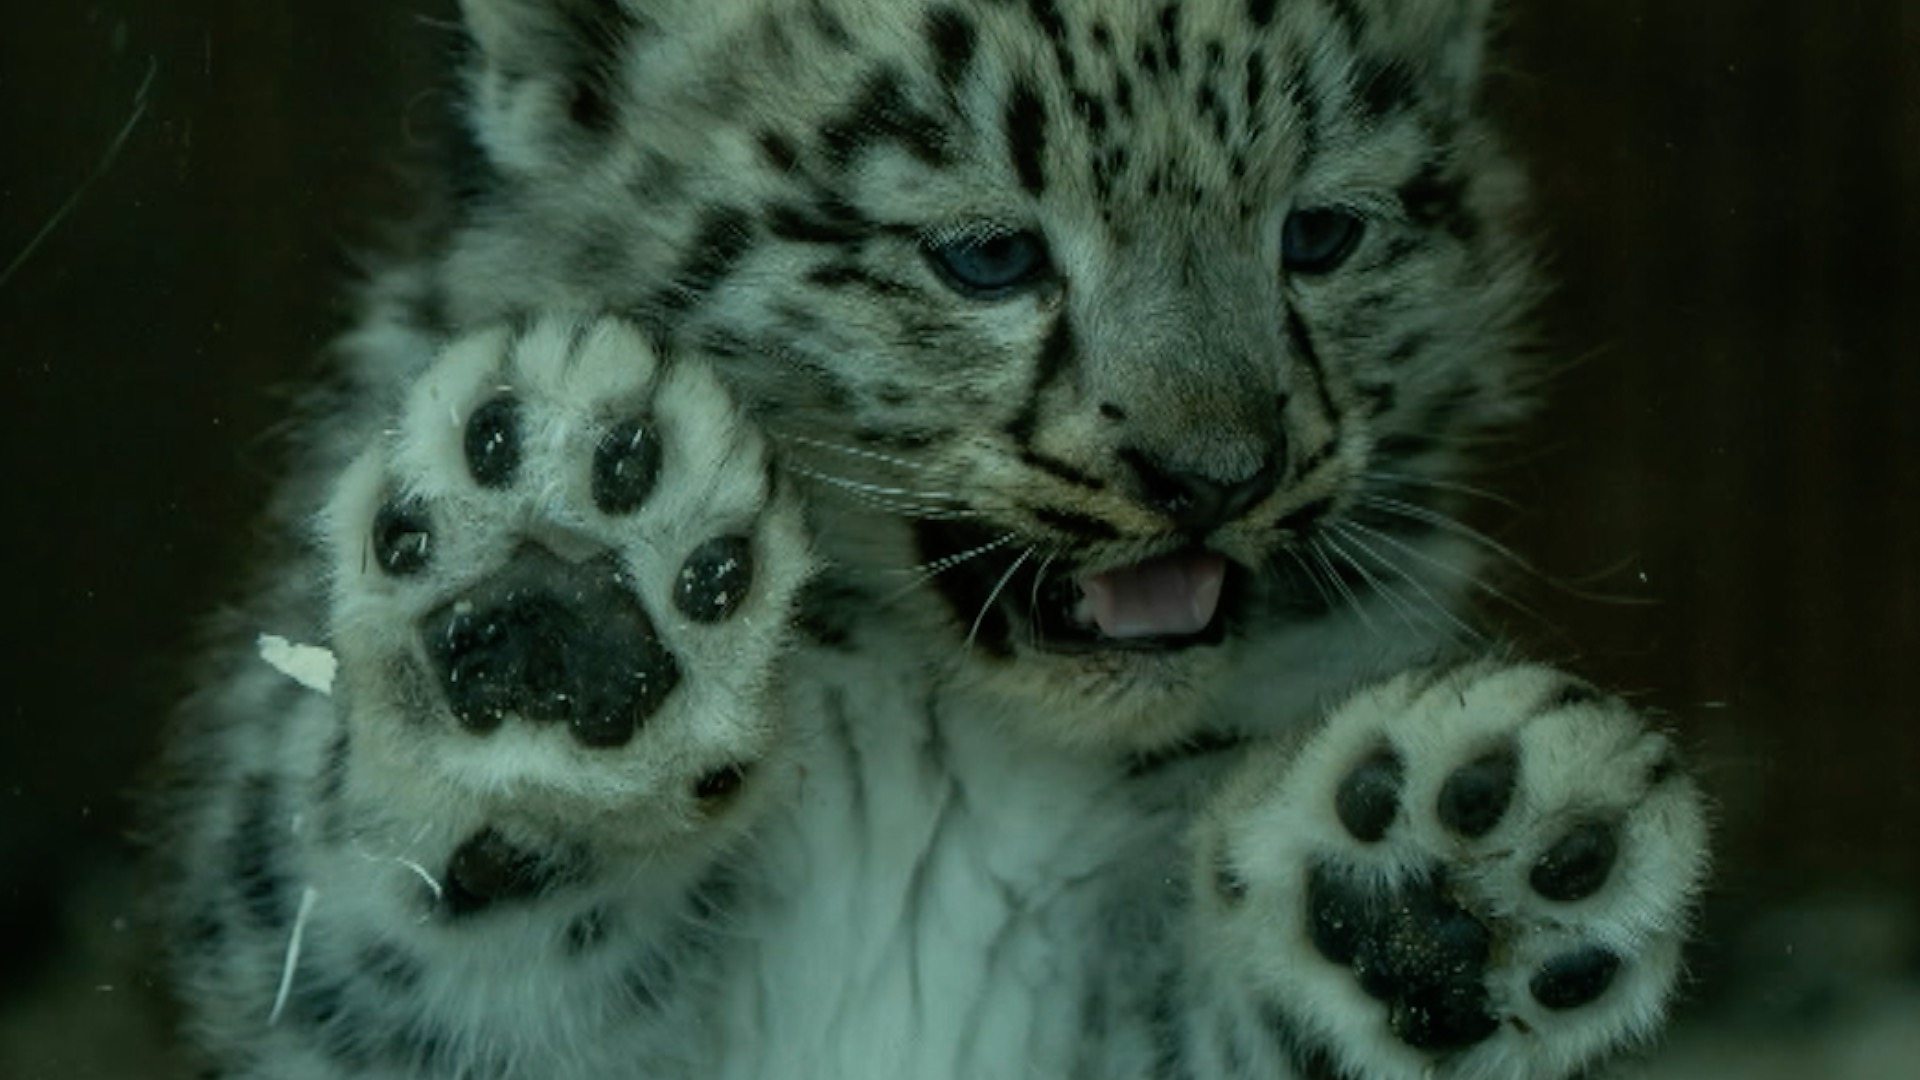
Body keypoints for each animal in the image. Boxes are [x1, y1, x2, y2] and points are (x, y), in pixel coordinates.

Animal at [153, 1, 1711, 1077]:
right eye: (987, 255)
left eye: (1321, 234)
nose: (1214, 475)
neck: (945, 756)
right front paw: (563, 550)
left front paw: (1467, 861)